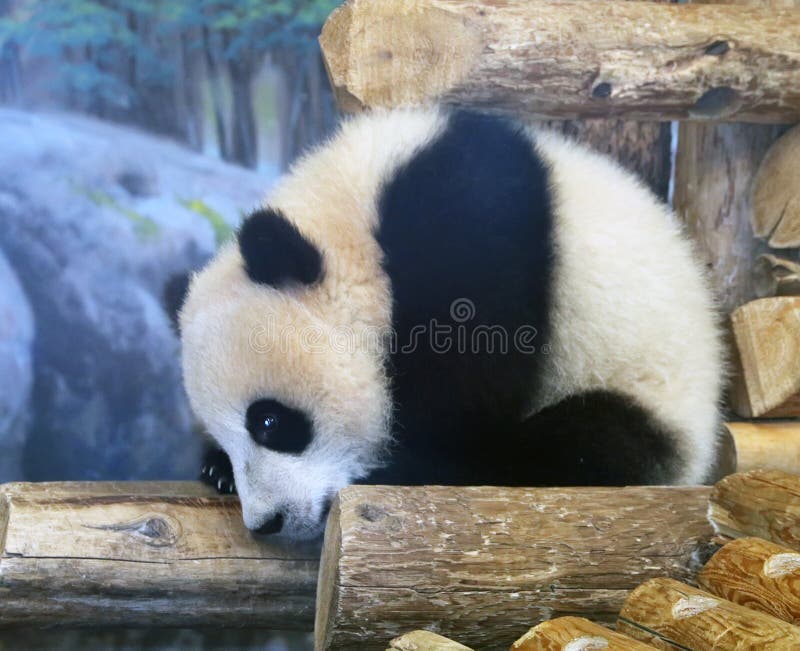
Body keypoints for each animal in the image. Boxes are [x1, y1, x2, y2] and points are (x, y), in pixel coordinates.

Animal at [179, 106, 724, 541]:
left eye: (268, 422)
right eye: (227, 438)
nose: (266, 523)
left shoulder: (466, 224)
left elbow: (469, 384)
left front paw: (409, 463)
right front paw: (216, 468)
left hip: (648, 390)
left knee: (586, 441)